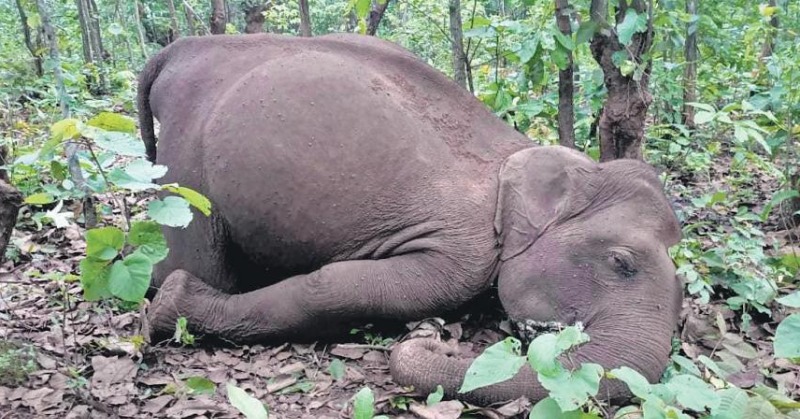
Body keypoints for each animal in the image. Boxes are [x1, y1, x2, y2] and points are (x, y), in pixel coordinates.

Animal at [138, 33, 683, 406]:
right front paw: (174, 305)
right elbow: (344, 288)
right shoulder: (464, 246)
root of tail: (178, 50)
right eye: (621, 262)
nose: (437, 340)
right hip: (188, 163)